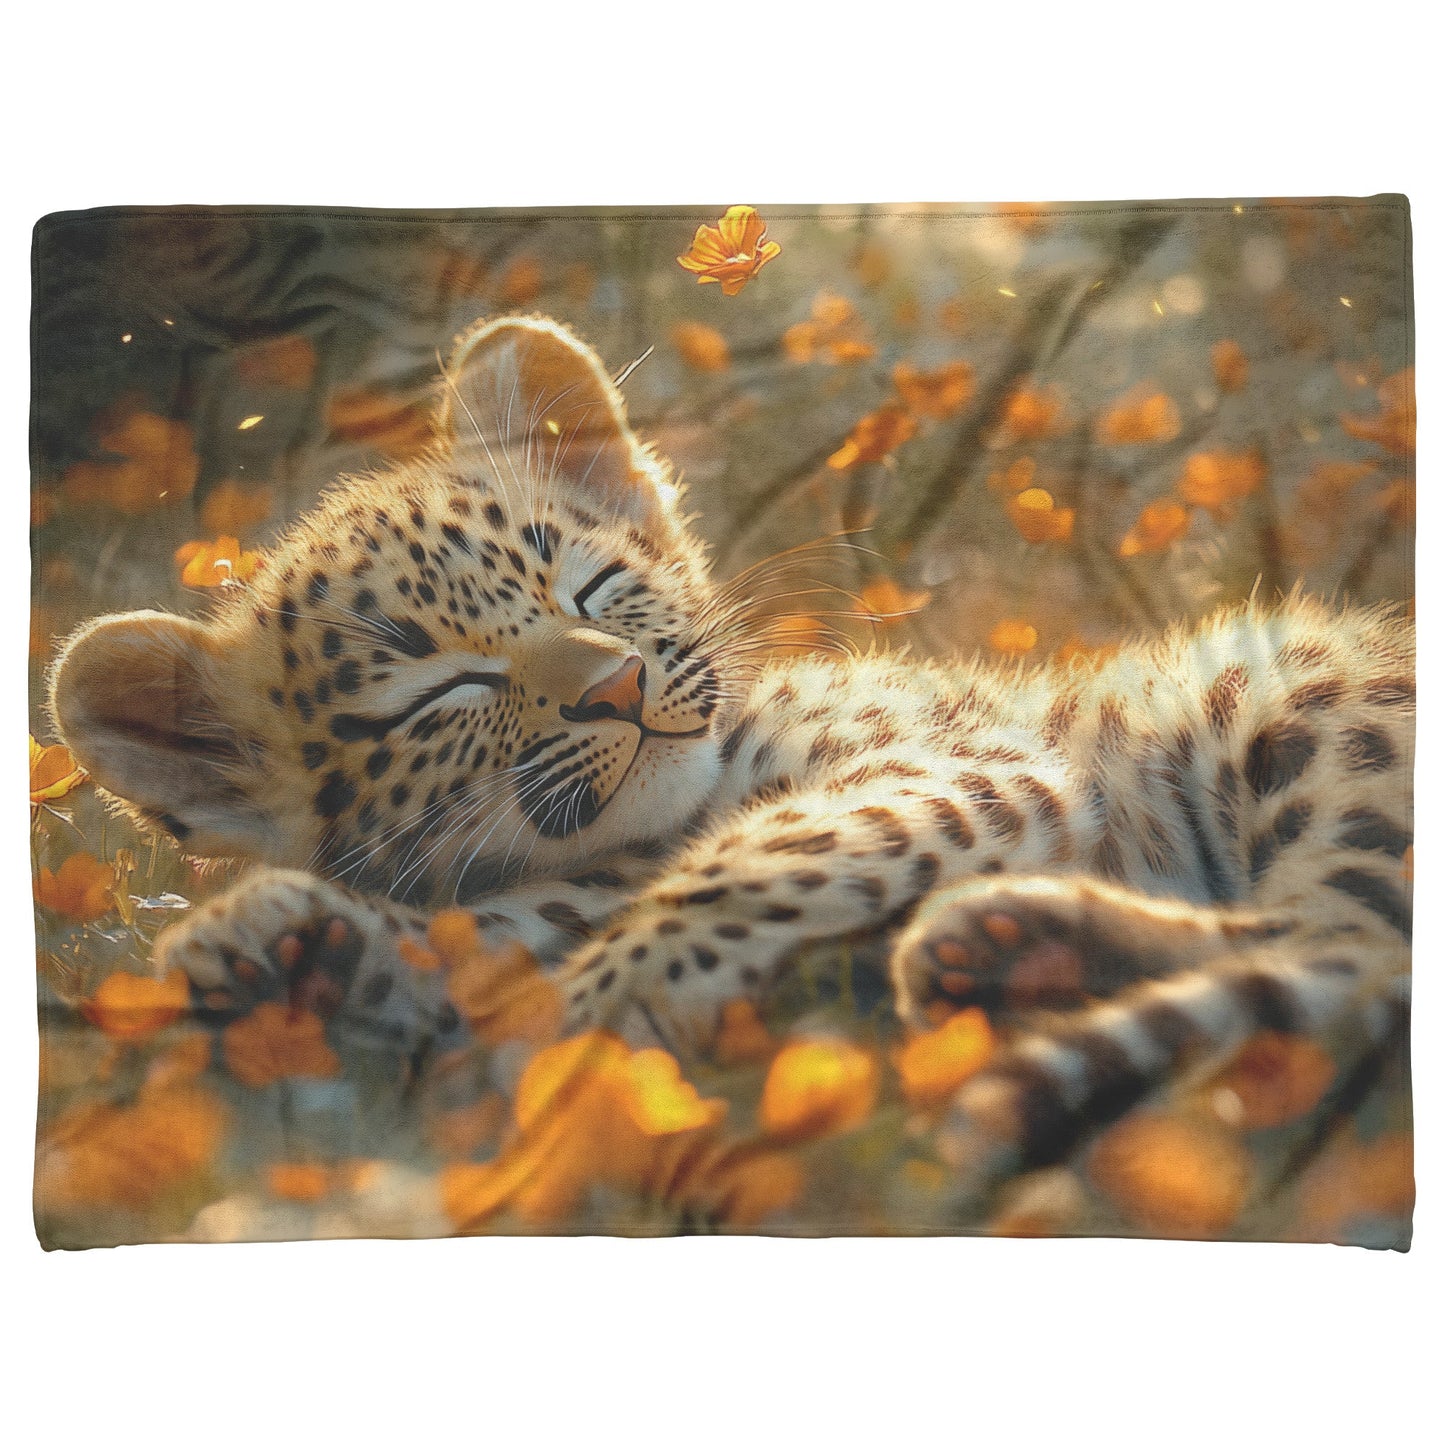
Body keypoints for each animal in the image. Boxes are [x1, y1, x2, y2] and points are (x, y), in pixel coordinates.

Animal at [48, 314, 1414, 1198]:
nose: (612, 685)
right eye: (441, 691)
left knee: (1344, 952)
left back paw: (1014, 946)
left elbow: (759, 858)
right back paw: (1006, 949)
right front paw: (274, 939)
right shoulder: (568, 867)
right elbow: (497, 927)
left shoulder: (957, 760)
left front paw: (584, 1035)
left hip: (1291, 708)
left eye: (589, 585)